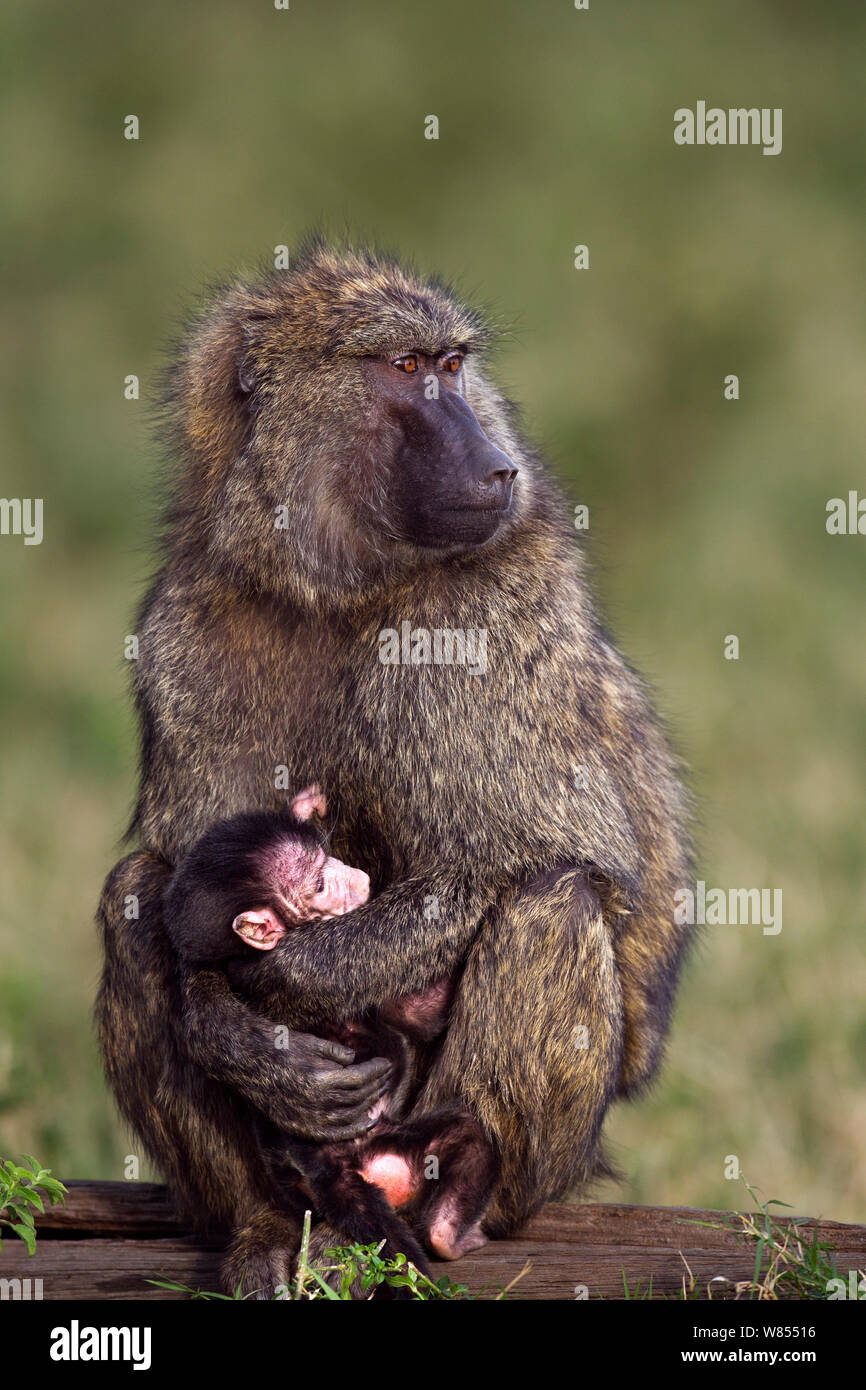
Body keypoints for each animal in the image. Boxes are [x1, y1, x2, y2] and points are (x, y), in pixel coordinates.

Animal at [162, 785, 496, 1272]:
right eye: (319, 884)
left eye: (325, 856)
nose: (353, 873)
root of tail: (327, 1166)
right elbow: (422, 1015)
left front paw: (305, 806)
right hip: (388, 1150)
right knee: (471, 1135)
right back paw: (451, 1237)